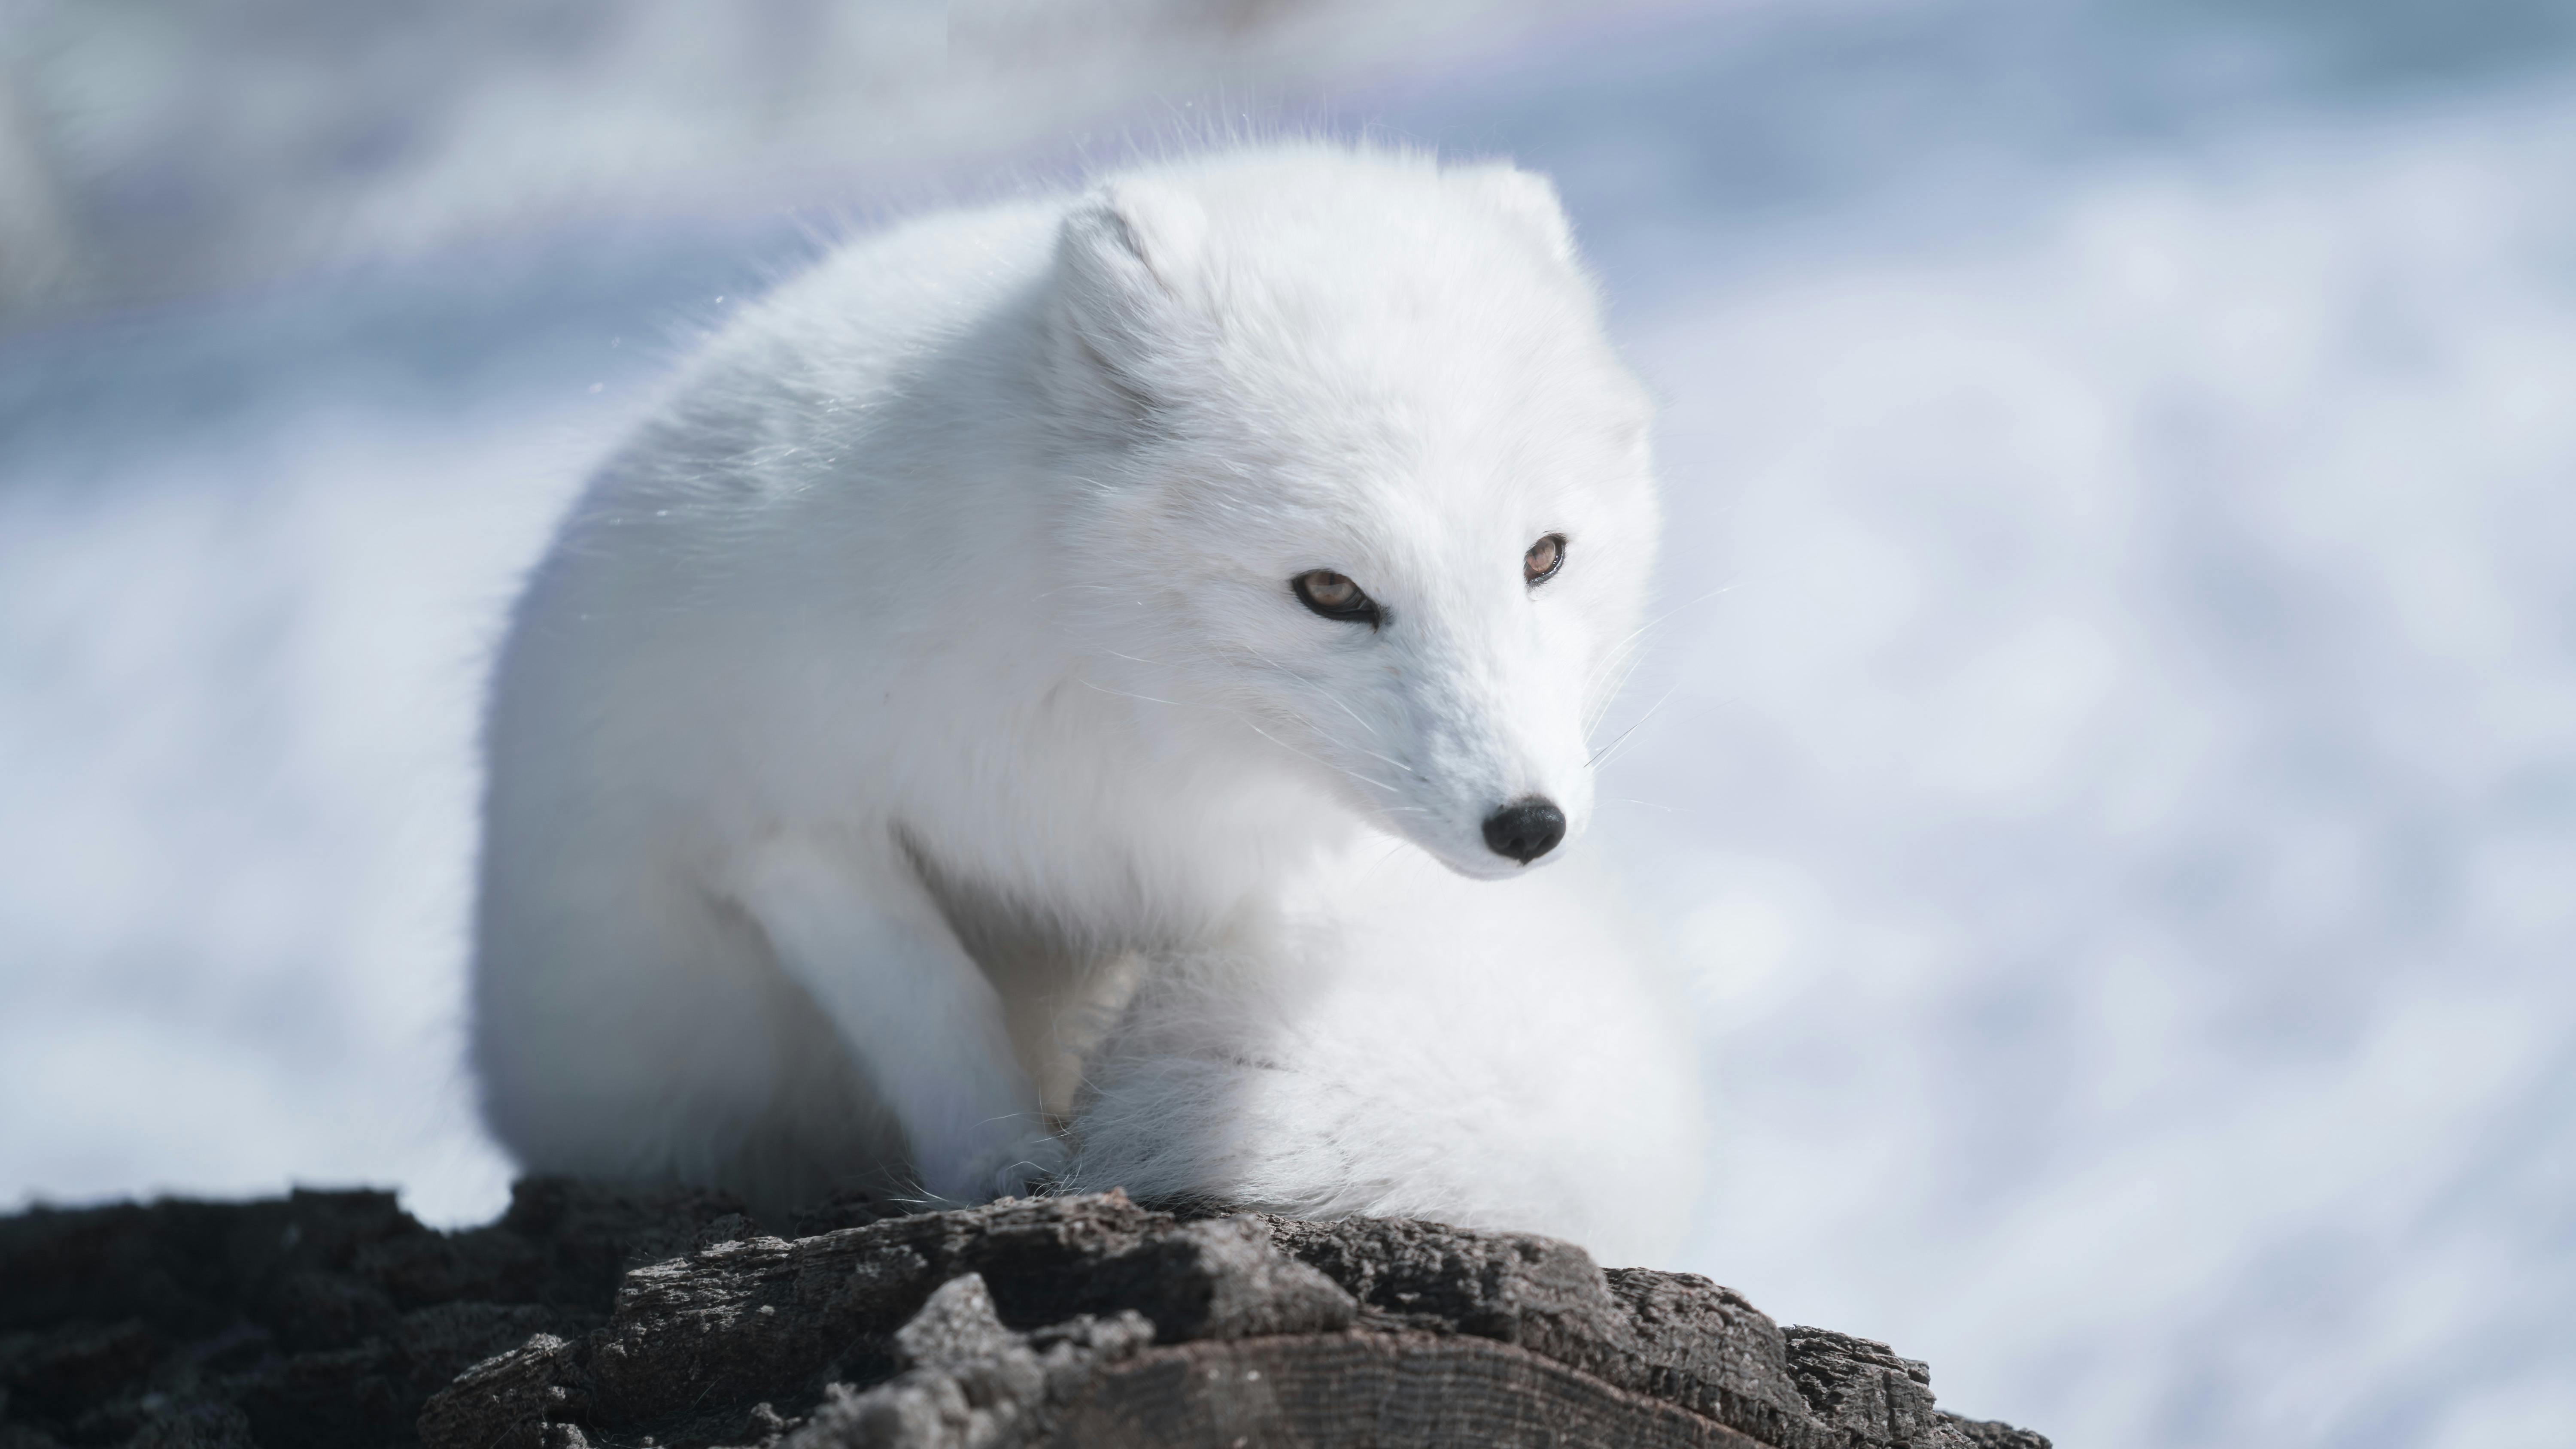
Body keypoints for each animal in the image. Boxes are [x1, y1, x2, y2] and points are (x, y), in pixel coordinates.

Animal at [472, 141, 1702, 1264]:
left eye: (1543, 557)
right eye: (1330, 591)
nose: (1529, 825)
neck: (1121, 699)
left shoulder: (1244, 885)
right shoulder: (781, 815)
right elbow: (928, 998)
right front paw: (1004, 1164)